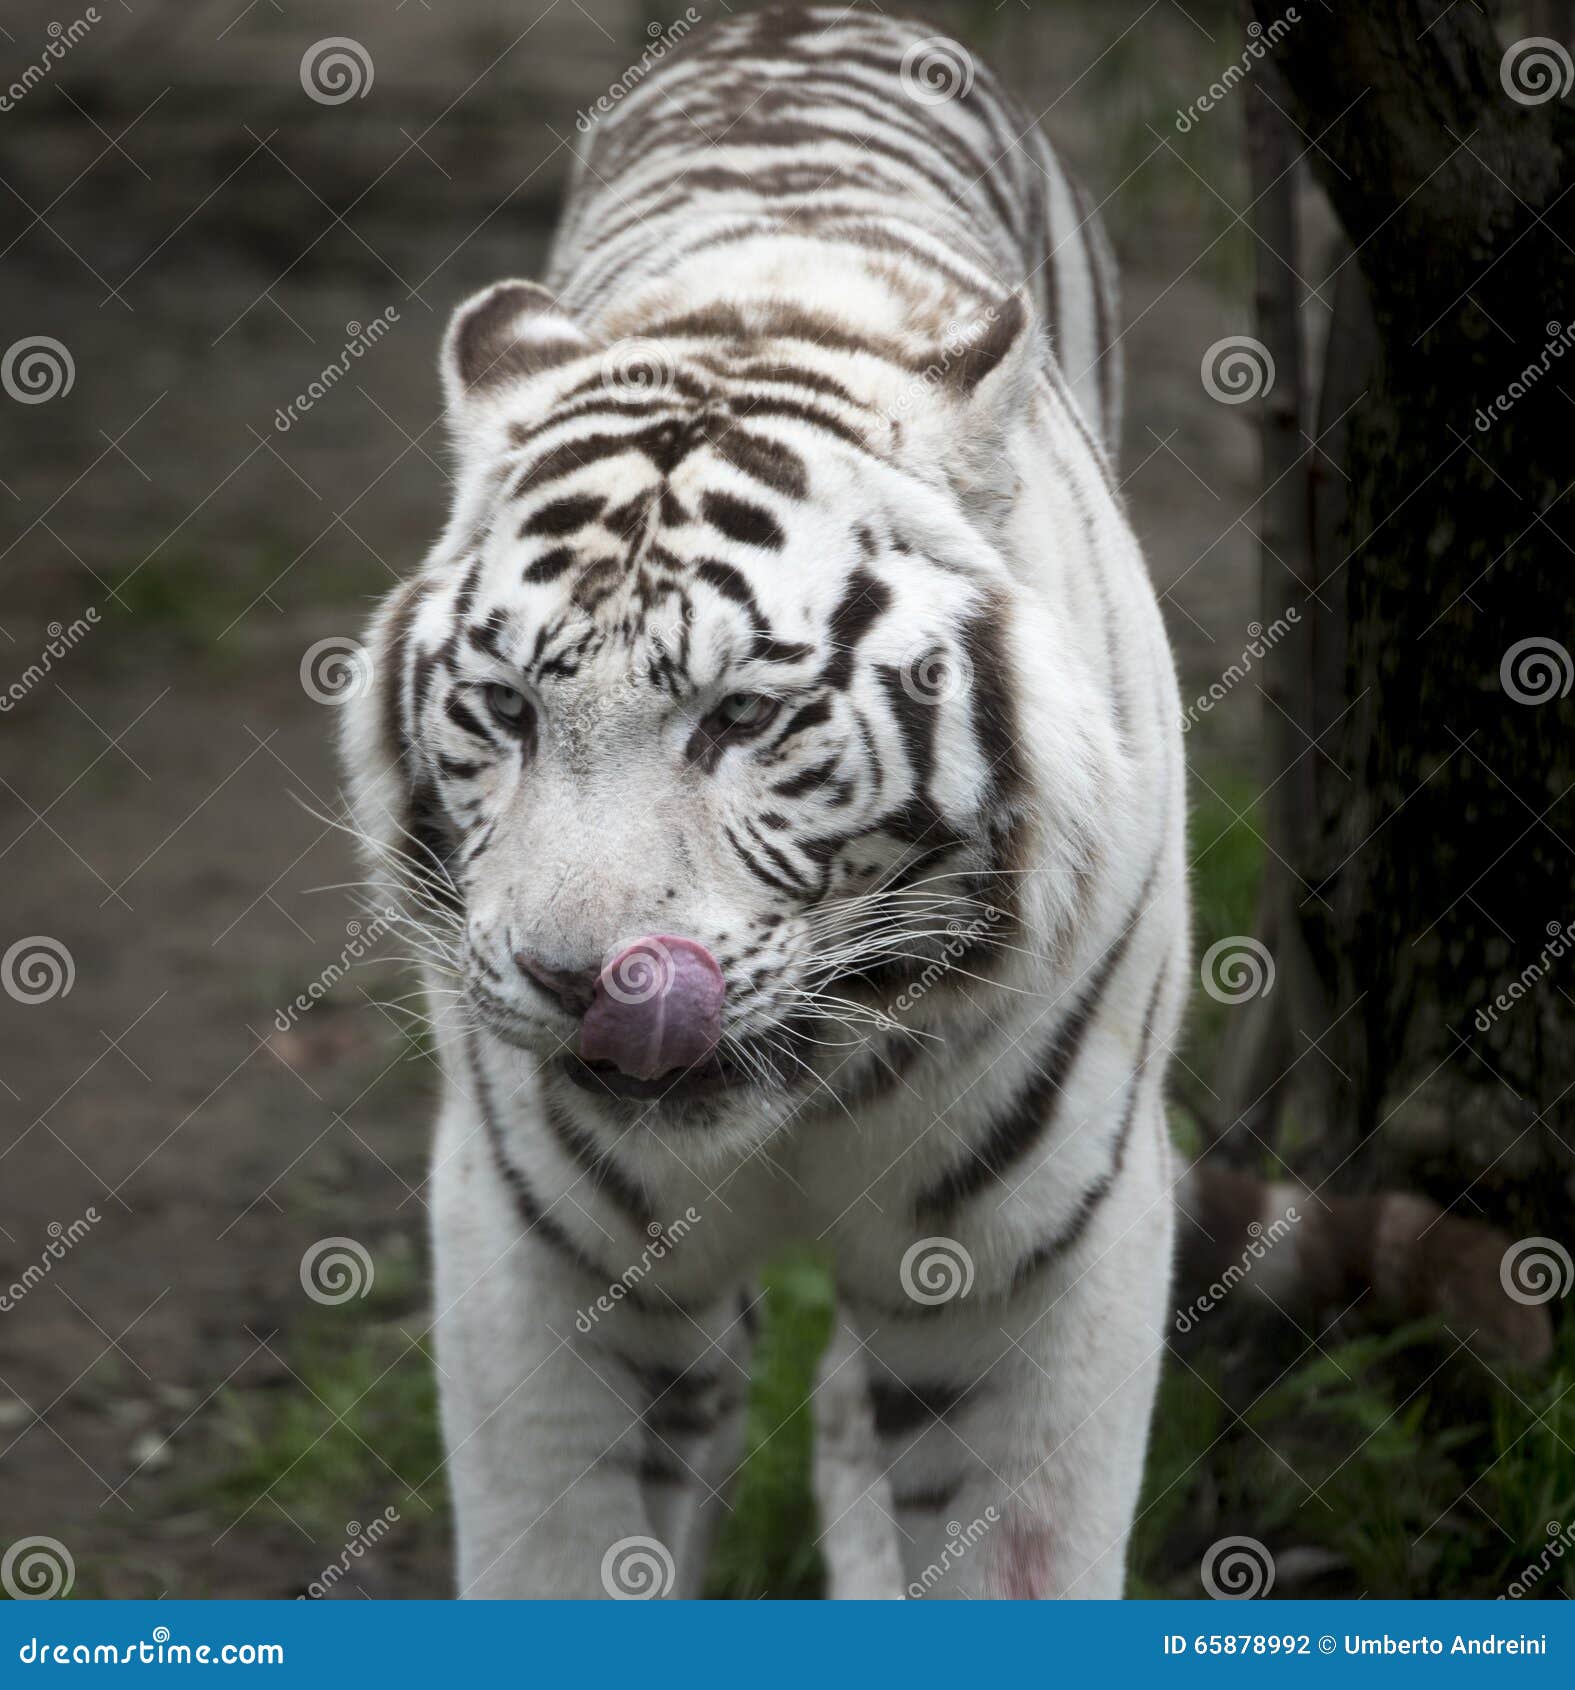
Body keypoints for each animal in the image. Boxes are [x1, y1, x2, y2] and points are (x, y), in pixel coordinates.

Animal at [337, 1, 1539, 1601]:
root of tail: (806, 15)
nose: (576, 981)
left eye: (741, 716)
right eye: (507, 712)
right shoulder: (543, 1255)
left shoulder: (1034, 1262)